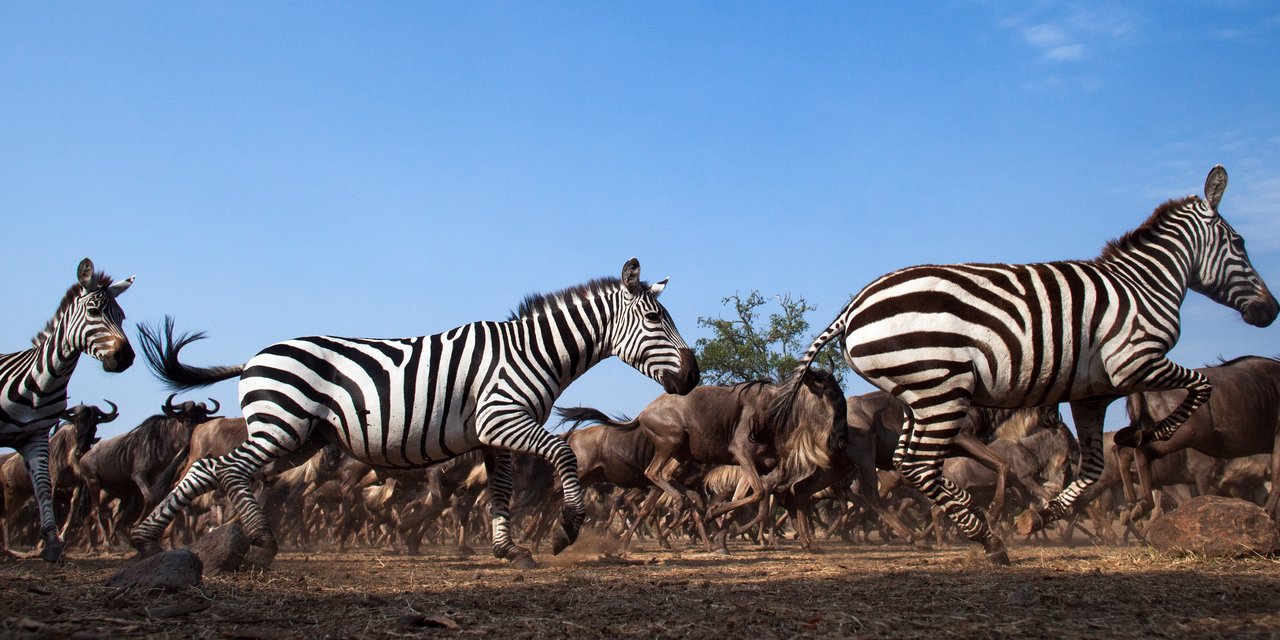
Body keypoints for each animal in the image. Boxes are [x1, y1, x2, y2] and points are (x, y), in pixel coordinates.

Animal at [0, 258, 135, 562]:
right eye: (93, 311)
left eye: (122, 317)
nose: (125, 357)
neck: (41, 384)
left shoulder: (36, 437)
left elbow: (43, 486)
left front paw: (51, 544)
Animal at [130, 258, 699, 566]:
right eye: (655, 319)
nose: (693, 377)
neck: (529, 352)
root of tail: (252, 358)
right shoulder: (502, 419)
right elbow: (561, 454)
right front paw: (566, 530)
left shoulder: (493, 435)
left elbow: (500, 493)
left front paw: (508, 551)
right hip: (282, 426)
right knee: (226, 468)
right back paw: (260, 541)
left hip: (299, 436)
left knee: (210, 468)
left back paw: (146, 539)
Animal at [770, 165, 1277, 563]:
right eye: (1238, 242)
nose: (1269, 312)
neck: (1142, 286)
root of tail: (854, 307)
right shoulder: (1135, 360)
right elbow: (1200, 387)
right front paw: (1142, 435)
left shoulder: (1092, 394)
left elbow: (1091, 469)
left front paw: (1042, 514)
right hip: (940, 391)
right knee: (911, 468)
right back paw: (981, 535)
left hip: (917, 399)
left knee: (899, 468)